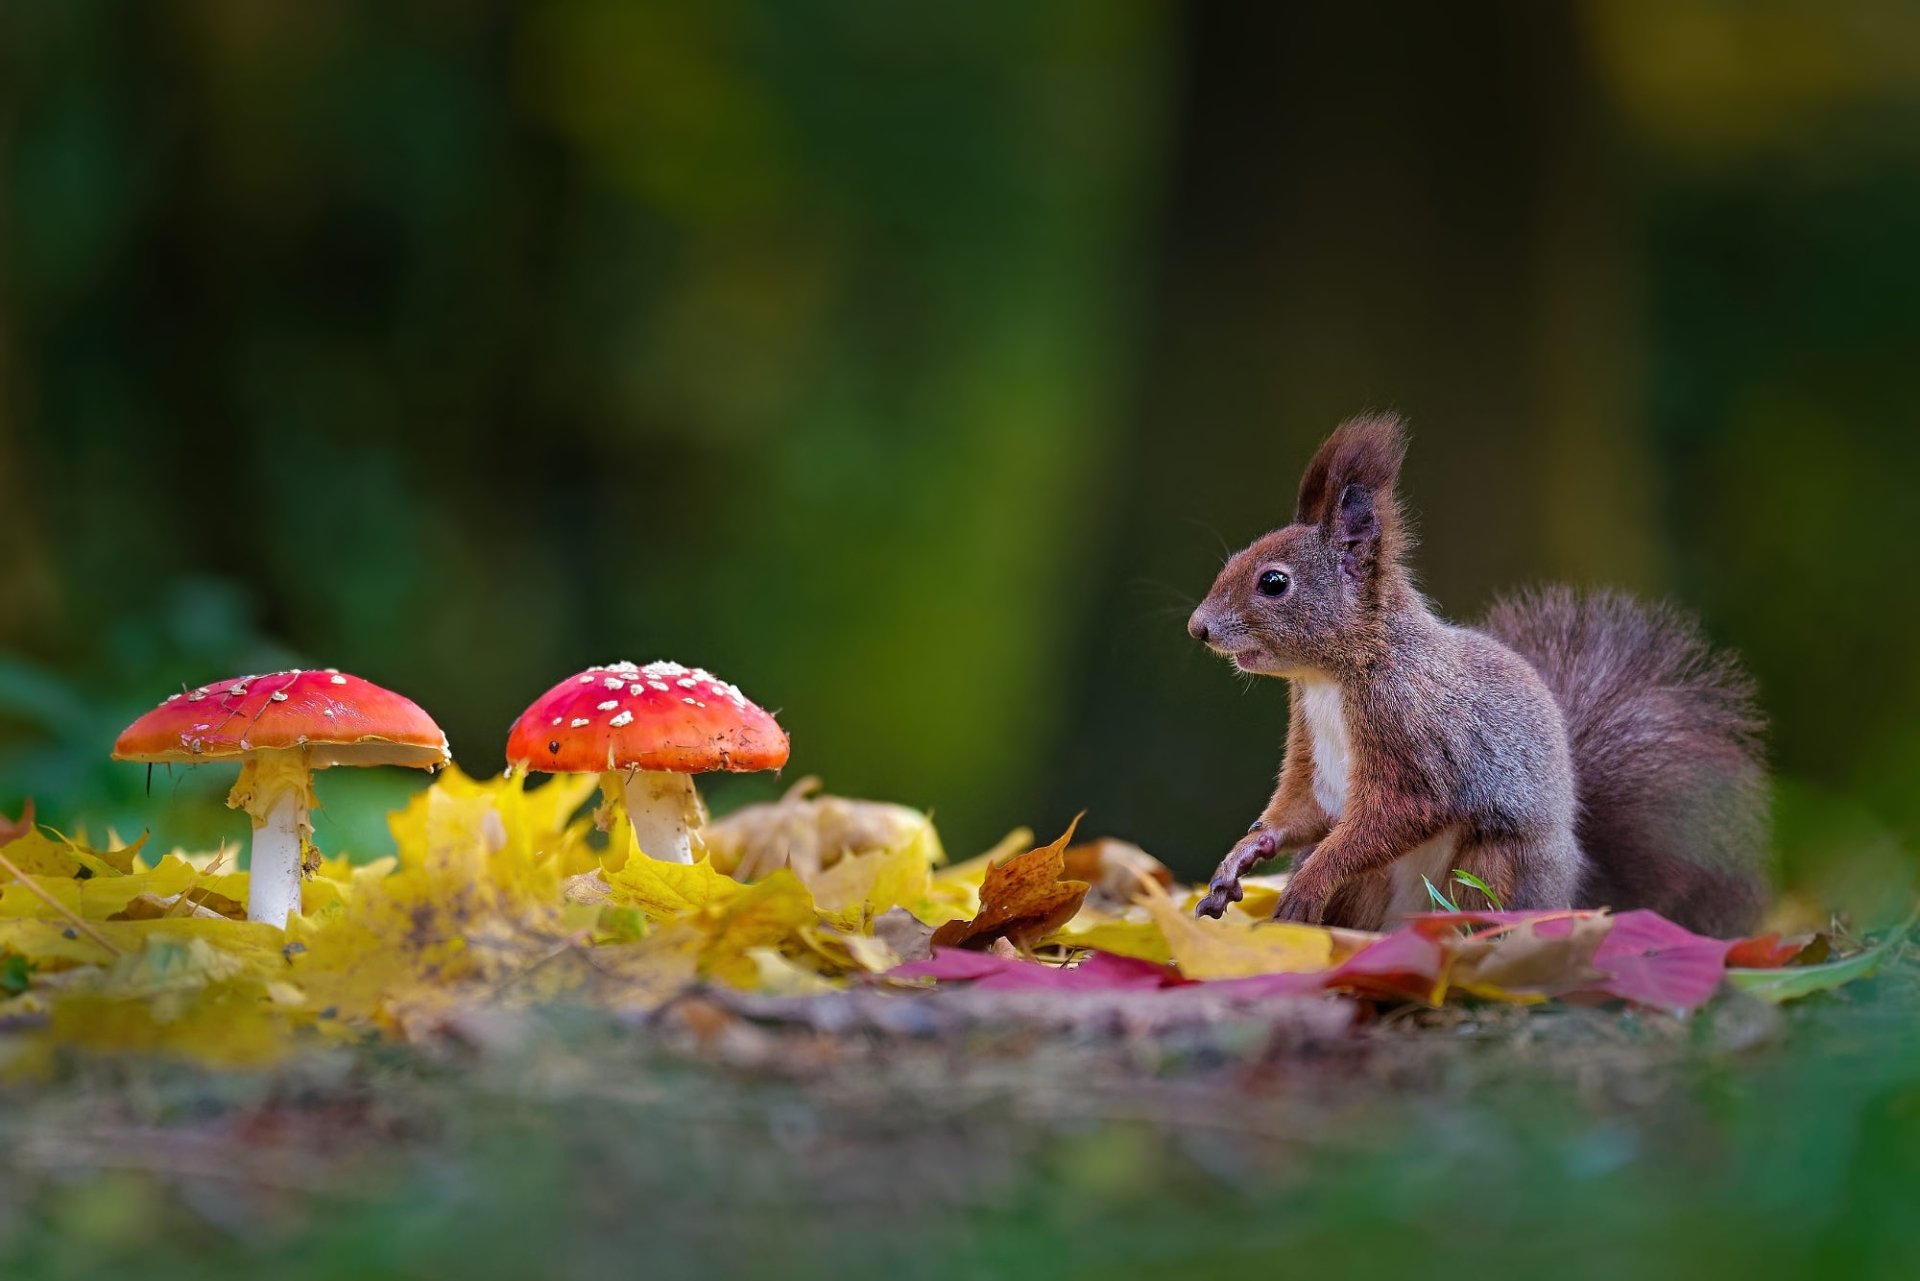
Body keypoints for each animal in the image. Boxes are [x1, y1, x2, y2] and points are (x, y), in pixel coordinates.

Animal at [1187, 414, 1768, 937]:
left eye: (1274, 582)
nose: (1198, 627)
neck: (1333, 675)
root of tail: (1572, 891)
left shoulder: (1411, 727)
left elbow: (1398, 813)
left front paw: (1309, 880)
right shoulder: (1310, 744)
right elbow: (1300, 810)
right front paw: (1241, 857)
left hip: (1492, 867)